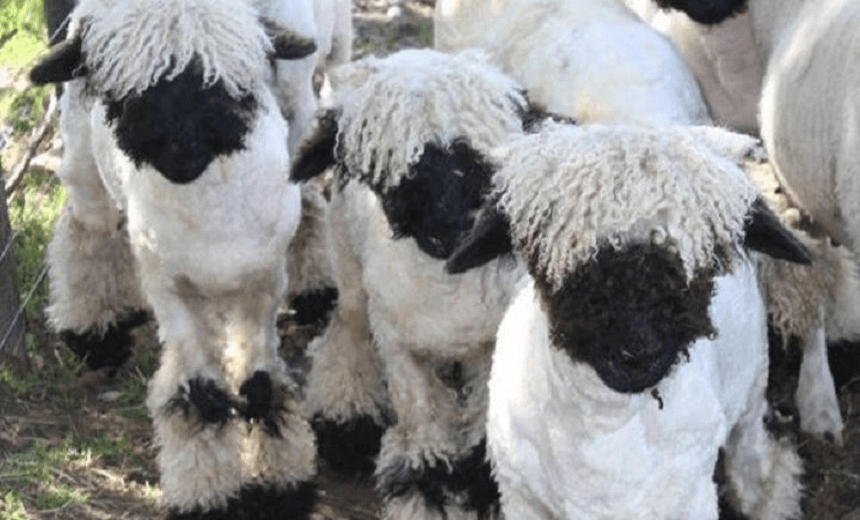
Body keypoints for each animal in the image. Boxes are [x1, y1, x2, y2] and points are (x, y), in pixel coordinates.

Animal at [29, 0, 320, 517]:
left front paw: (281, 484)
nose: (179, 148)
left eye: (220, 83)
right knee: (87, 231)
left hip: (299, 105)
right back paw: (93, 331)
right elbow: (200, 397)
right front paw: (207, 494)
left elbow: (261, 383)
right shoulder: (169, 285)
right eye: (125, 91)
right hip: (82, 152)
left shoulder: (264, 280)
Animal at [290, 48, 535, 519]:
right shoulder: (398, 344)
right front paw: (427, 496)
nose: (449, 230)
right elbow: (421, 430)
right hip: (348, 262)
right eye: (382, 173)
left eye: (472, 160)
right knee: (347, 328)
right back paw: (347, 418)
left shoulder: (491, 344)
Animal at [445, 122, 810, 520]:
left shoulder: (693, 497)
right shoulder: (521, 496)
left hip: (752, 376)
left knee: (750, 444)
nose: (639, 351)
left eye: (703, 264)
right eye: (558, 264)